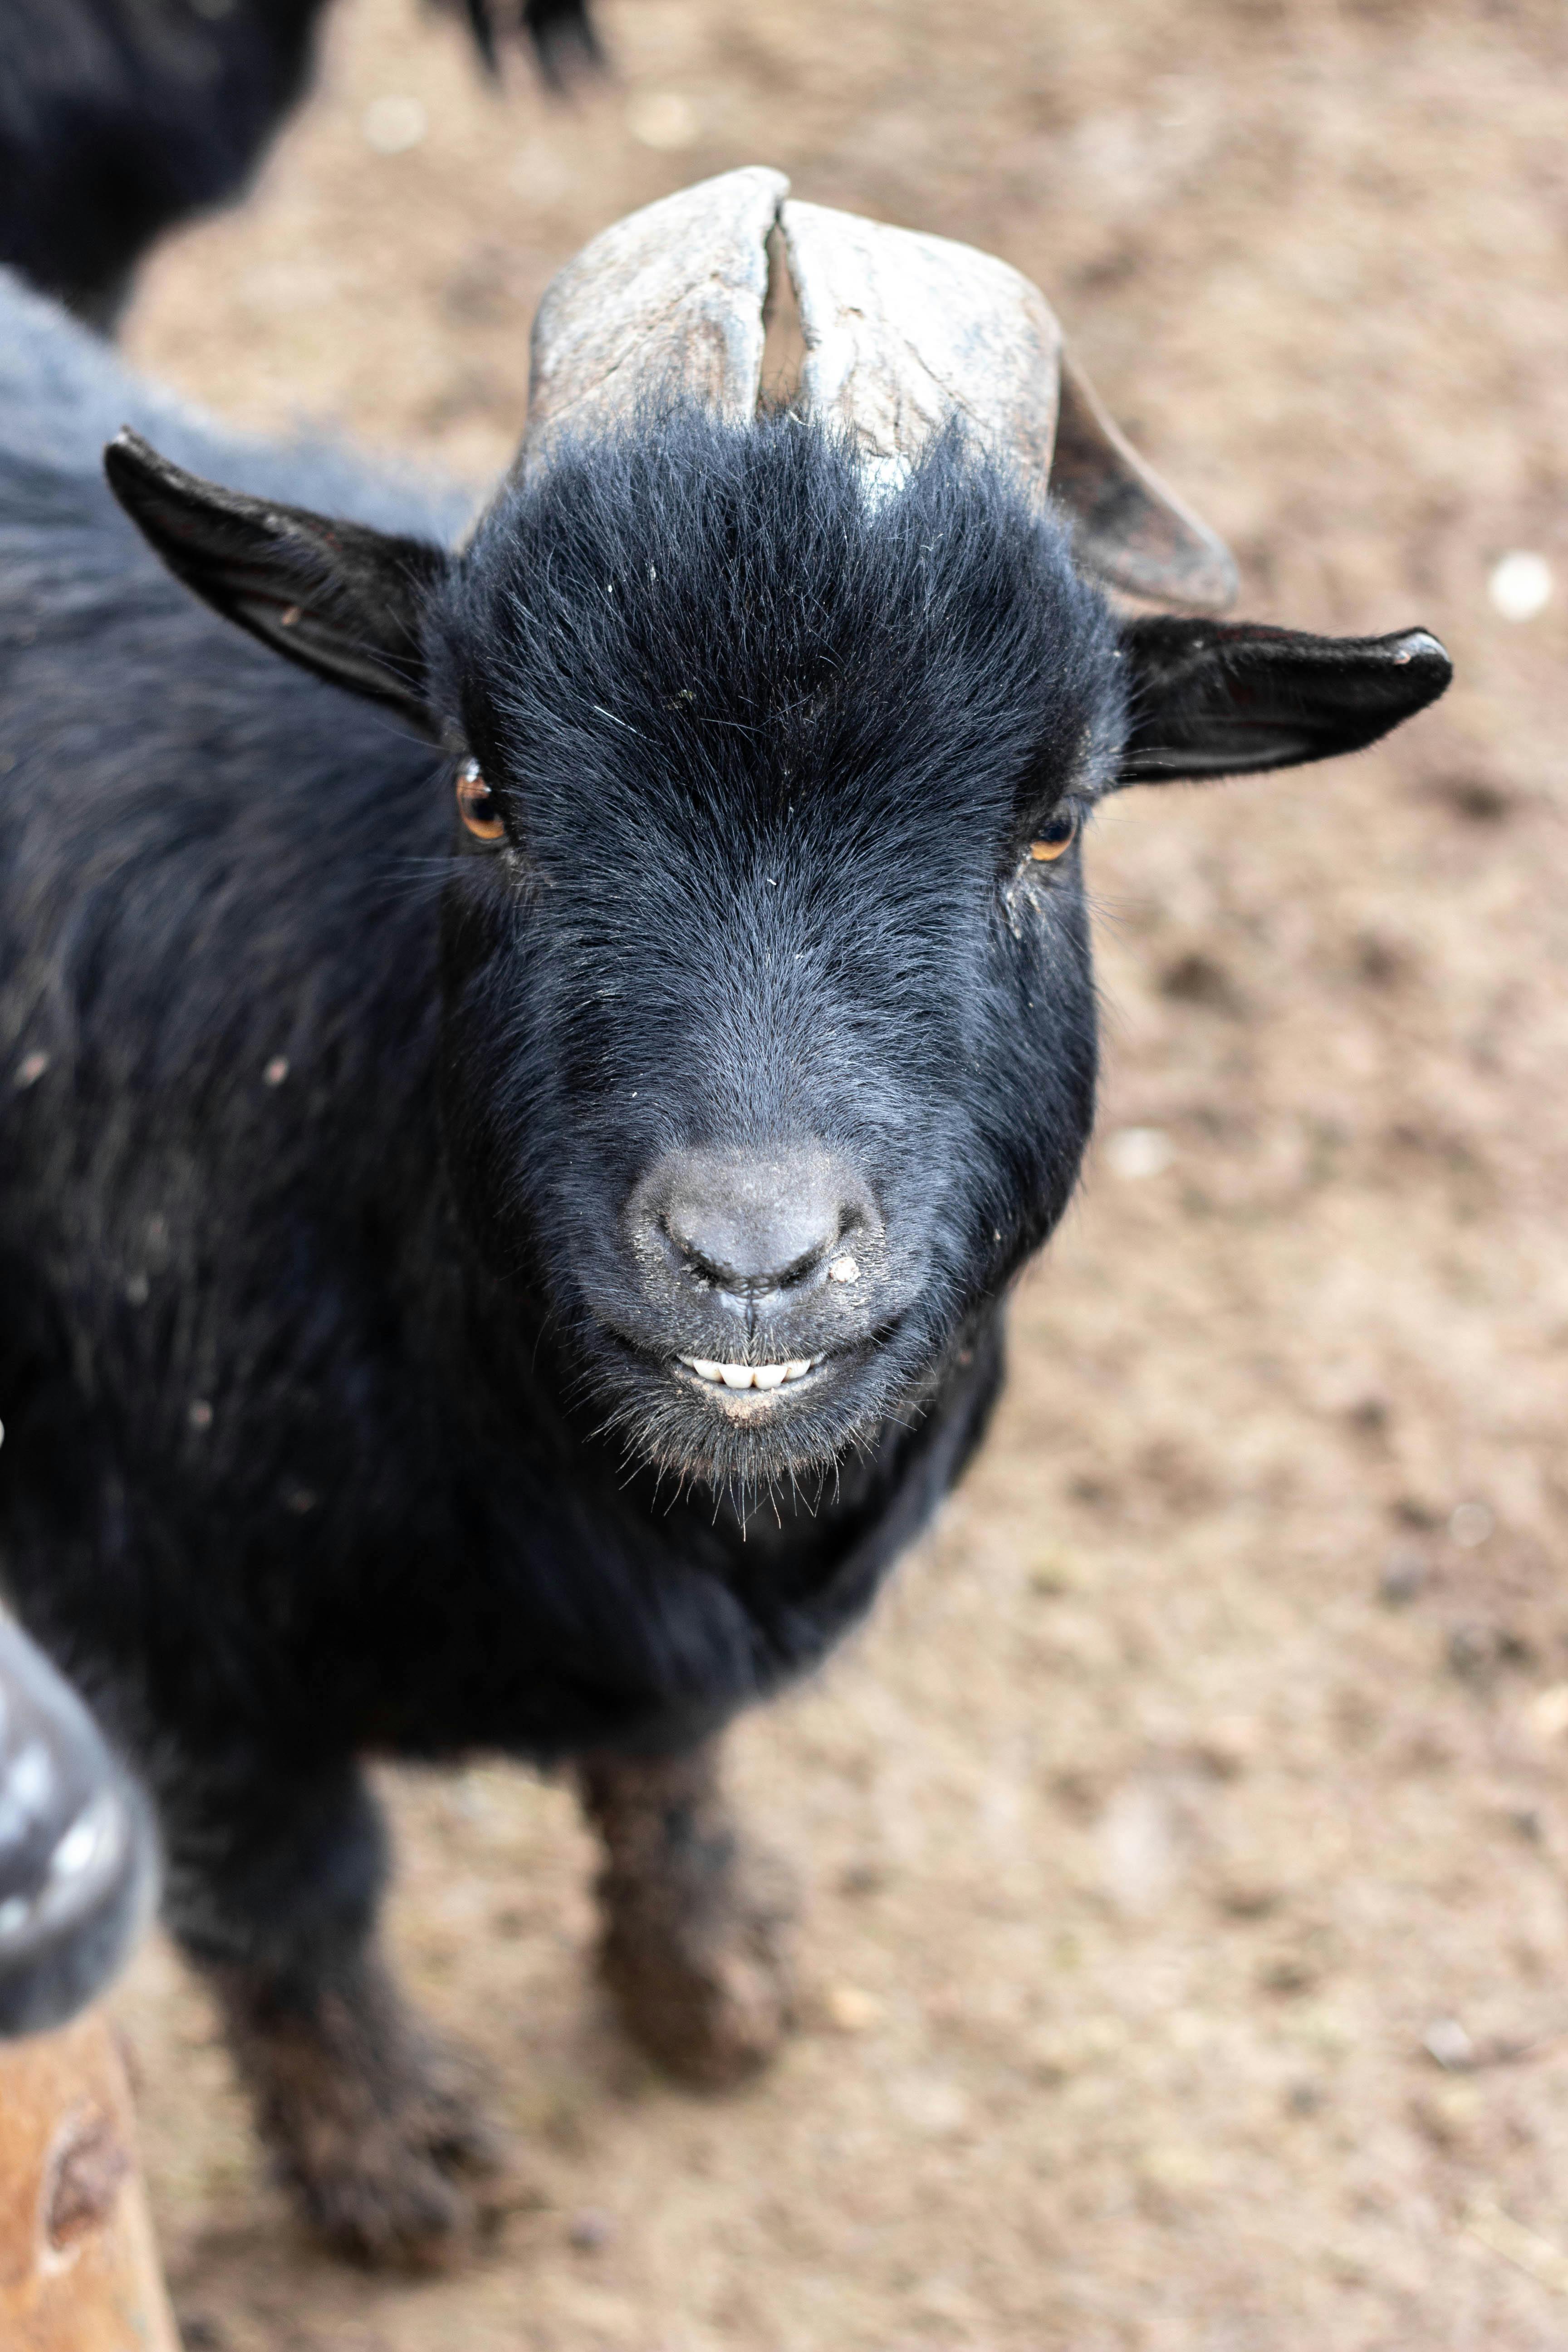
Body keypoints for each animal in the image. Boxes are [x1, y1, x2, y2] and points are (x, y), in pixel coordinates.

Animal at [0, 168, 1451, 2265]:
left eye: (1053, 821)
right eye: (482, 792)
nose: (751, 1256)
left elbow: (665, 1754)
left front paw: (708, 1984)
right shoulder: (153, 1622)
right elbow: (294, 1895)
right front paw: (400, 2169)